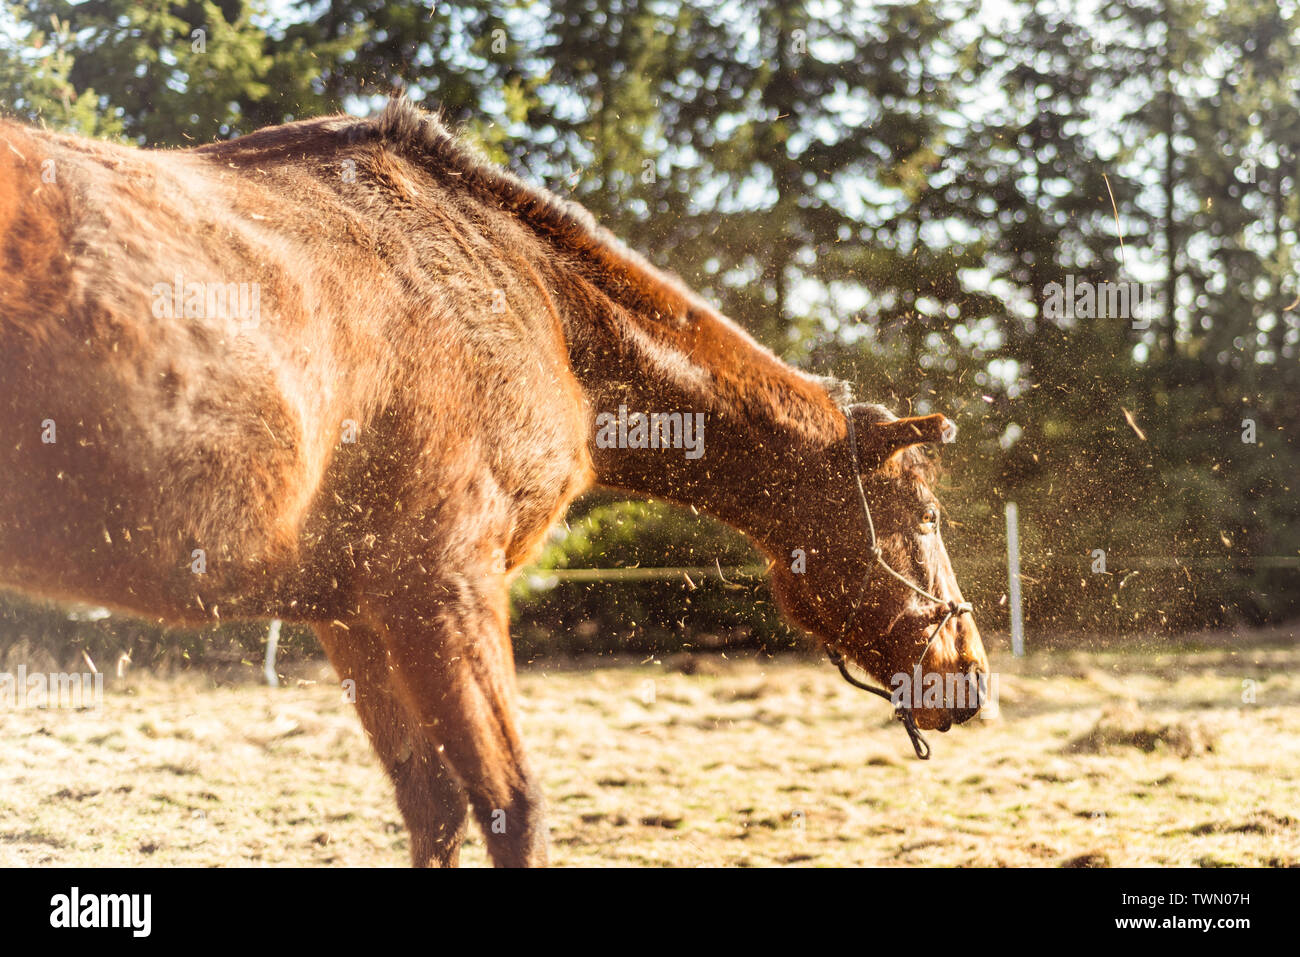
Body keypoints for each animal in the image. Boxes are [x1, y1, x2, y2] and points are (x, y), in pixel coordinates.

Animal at [0, 98, 989, 866]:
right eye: (925, 514)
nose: (971, 675)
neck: (525, 299)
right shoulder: (443, 588)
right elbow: (514, 806)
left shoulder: (356, 615)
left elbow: (433, 807)